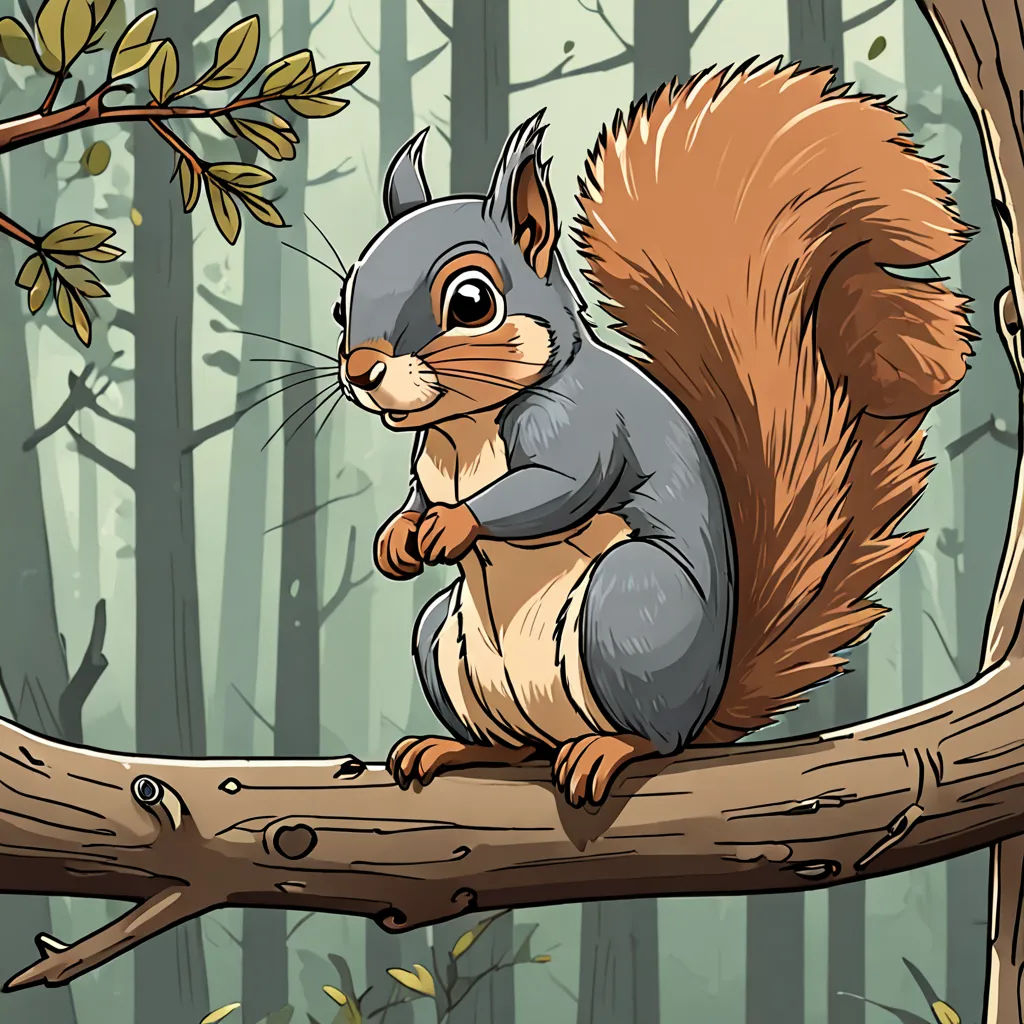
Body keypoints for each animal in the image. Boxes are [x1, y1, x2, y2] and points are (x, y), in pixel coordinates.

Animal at [334, 58, 974, 807]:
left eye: (471, 302)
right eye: (341, 302)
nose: (361, 370)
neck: (463, 427)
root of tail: (707, 704)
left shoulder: (584, 421)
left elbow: (553, 488)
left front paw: (453, 525)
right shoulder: (428, 467)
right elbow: (413, 500)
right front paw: (395, 540)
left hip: (629, 607)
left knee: (654, 736)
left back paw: (607, 749)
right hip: (444, 637)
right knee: (511, 743)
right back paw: (451, 748)